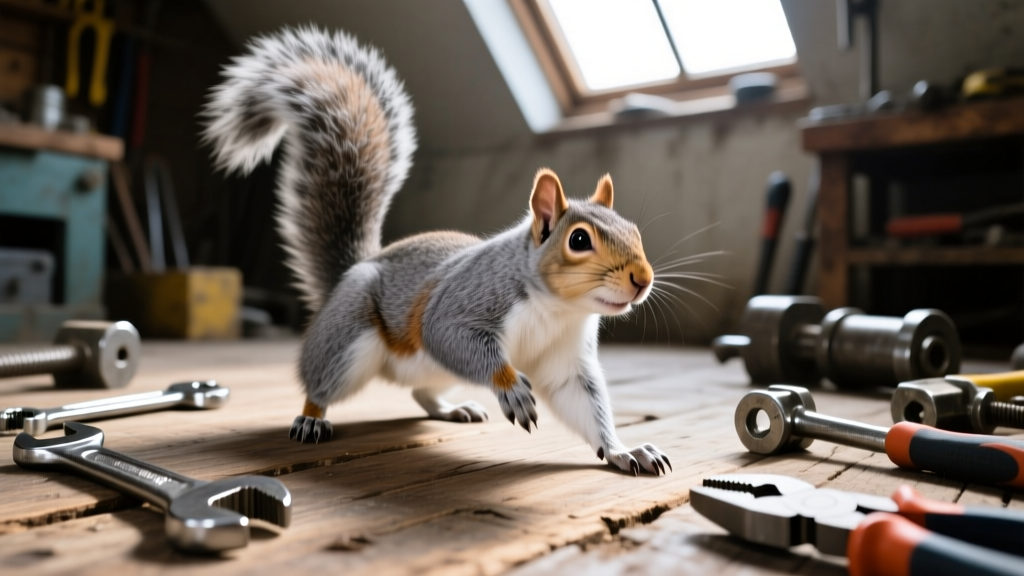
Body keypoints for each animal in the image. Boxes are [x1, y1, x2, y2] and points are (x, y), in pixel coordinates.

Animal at [203, 26, 671, 476]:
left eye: (634, 231)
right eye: (578, 240)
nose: (643, 279)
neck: (555, 310)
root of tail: (346, 277)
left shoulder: (565, 359)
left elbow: (585, 404)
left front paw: (624, 451)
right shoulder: (469, 299)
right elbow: (446, 332)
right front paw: (510, 387)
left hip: (437, 372)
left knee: (420, 392)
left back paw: (452, 408)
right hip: (349, 338)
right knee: (322, 381)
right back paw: (312, 418)